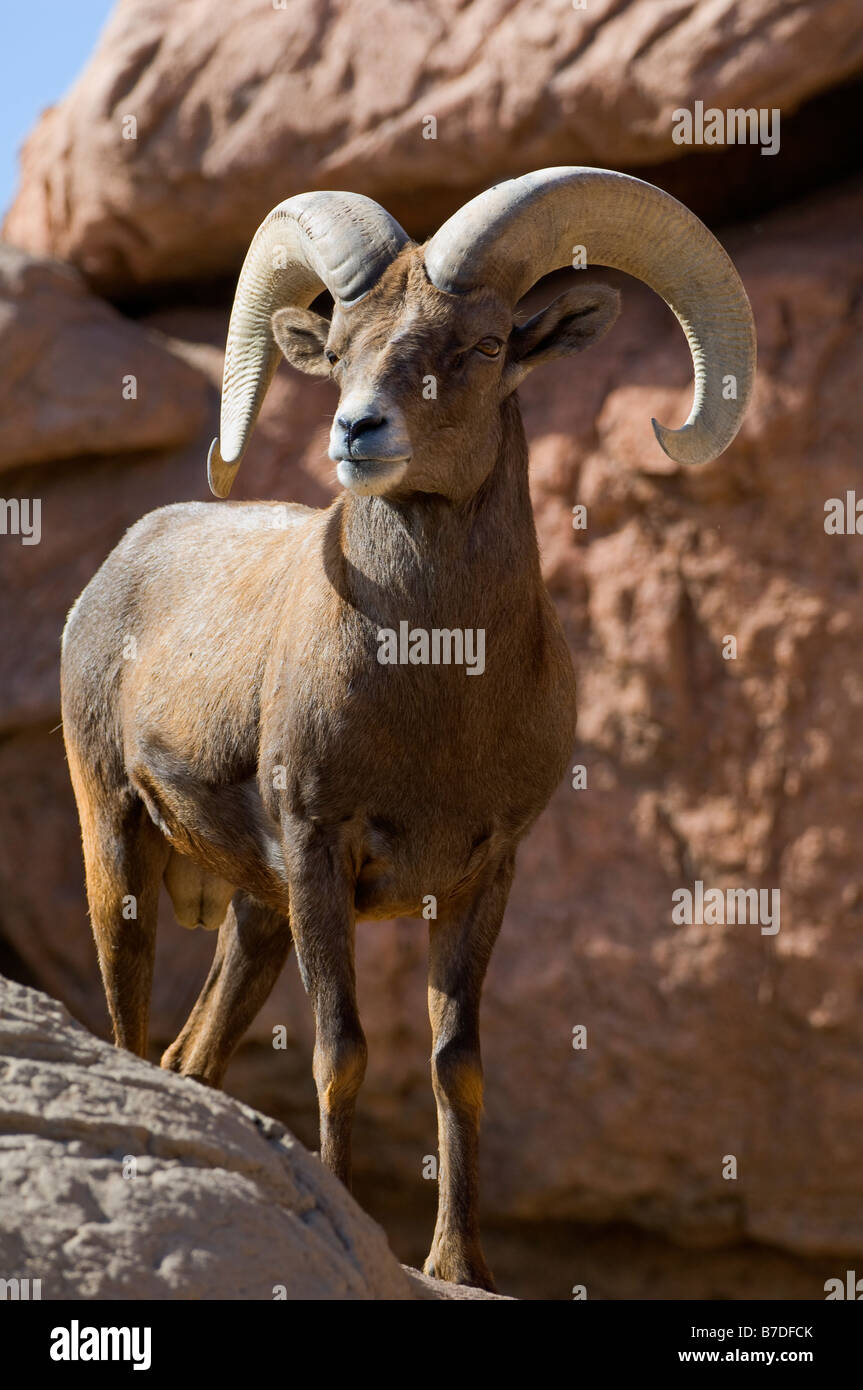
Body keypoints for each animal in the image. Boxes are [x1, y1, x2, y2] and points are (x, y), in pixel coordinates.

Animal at [61, 167, 755, 1291]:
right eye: (341, 347)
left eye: (481, 346)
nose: (357, 431)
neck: (438, 689)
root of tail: (118, 566)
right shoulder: (319, 849)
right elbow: (339, 1052)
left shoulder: (481, 875)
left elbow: (455, 1065)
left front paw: (457, 1262)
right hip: (118, 842)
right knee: (130, 1025)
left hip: (254, 919)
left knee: (190, 1058)